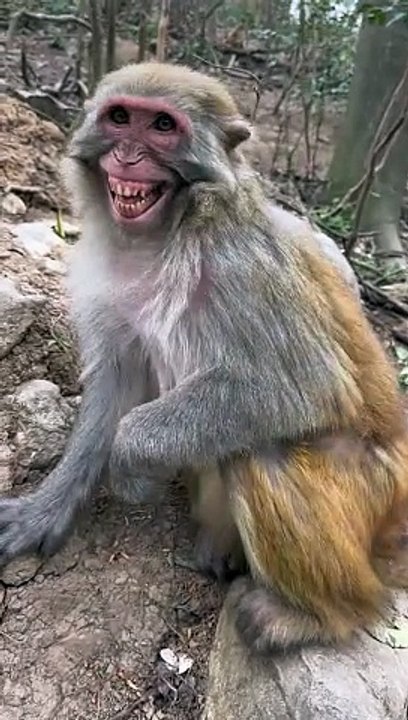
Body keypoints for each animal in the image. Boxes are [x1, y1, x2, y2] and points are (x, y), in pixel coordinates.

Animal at [0, 62, 407, 656]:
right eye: (119, 117)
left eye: (162, 127)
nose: (127, 156)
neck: (164, 235)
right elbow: (115, 385)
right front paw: (46, 509)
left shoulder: (242, 263)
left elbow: (307, 386)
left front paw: (129, 462)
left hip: (372, 499)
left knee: (265, 451)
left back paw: (320, 615)